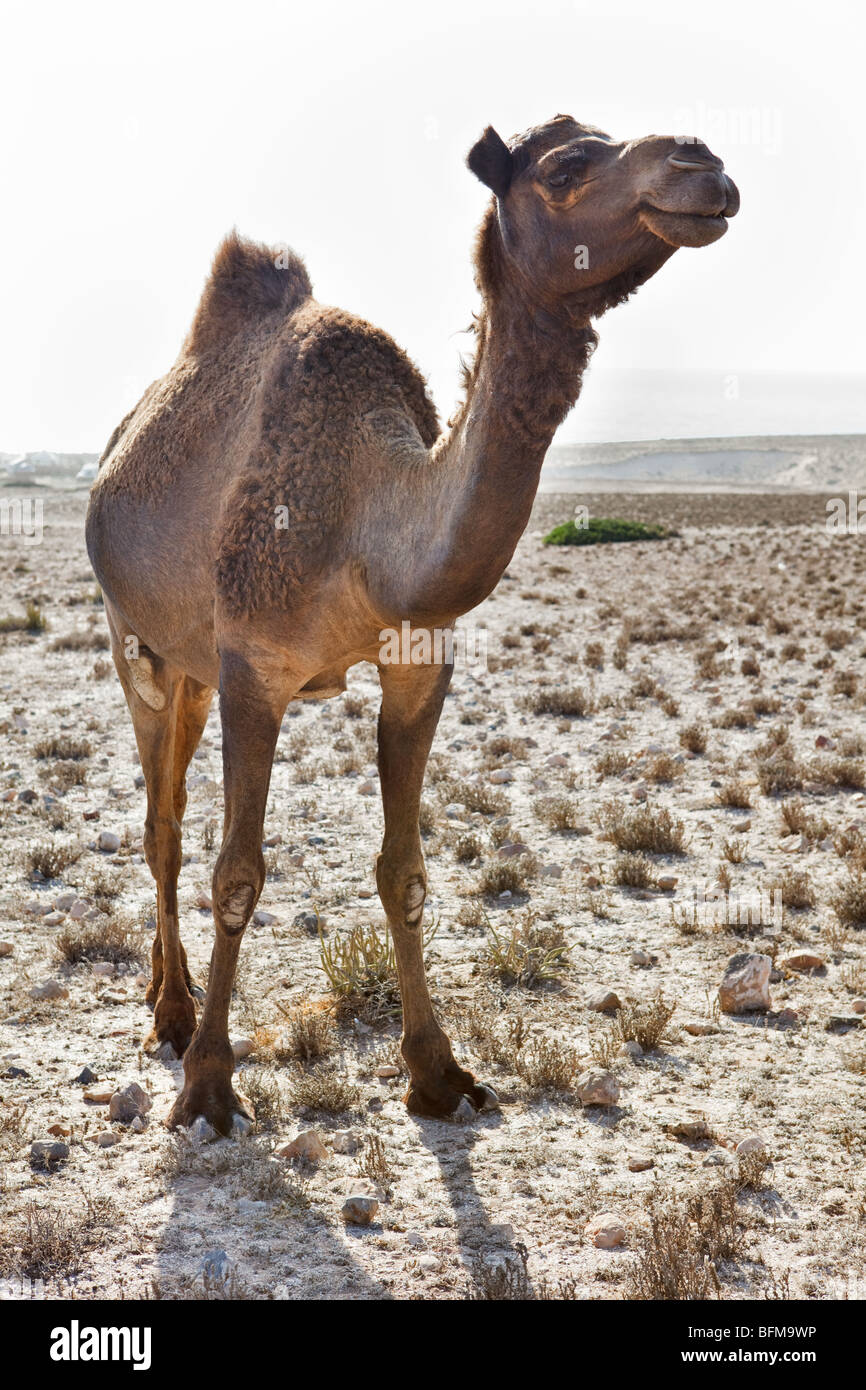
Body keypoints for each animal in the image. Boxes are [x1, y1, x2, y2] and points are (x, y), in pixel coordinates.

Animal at [86, 114, 738, 1136]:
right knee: (164, 825)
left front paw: (438, 1073)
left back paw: (168, 996)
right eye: (564, 168)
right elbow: (239, 874)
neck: (369, 522)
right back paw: (173, 1015)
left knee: (167, 813)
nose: (701, 165)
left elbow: (406, 869)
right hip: (136, 641)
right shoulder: (253, 667)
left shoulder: (419, 662)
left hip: (187, 665)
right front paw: (207, 1088)